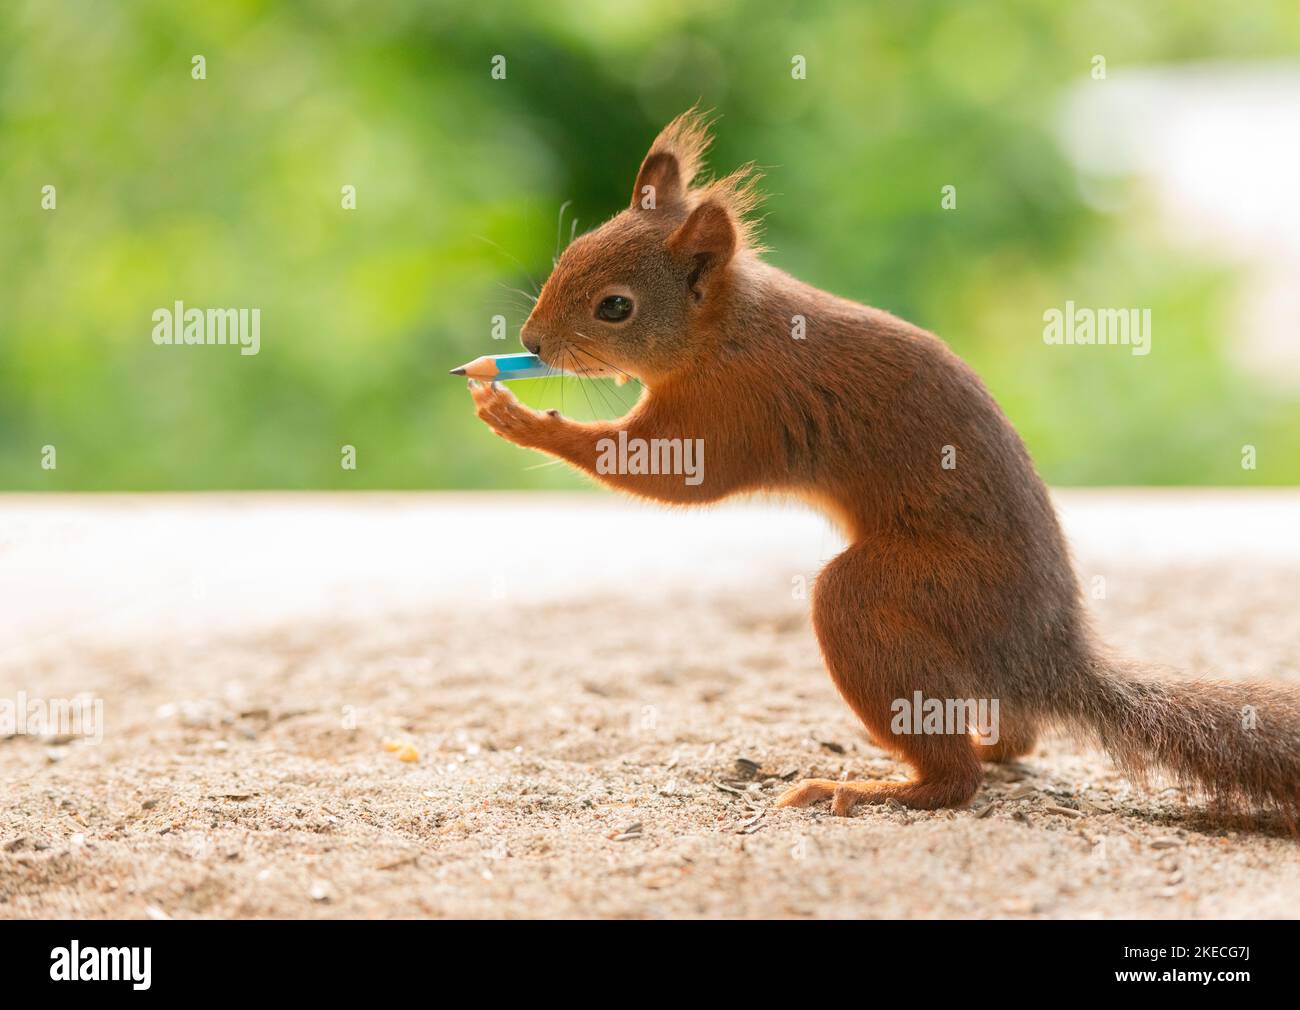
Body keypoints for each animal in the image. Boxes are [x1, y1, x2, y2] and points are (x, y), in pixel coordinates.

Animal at [469, 109, 1300, 821]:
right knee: (1015, 738)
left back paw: (875, 788)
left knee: (955, 774)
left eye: (616, 307)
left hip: (900, 597)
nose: (531, 343)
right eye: (569, 255)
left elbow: (668, 474)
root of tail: (1044, 655)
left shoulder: (737, 411)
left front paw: (521, 419)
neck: (727, 331)